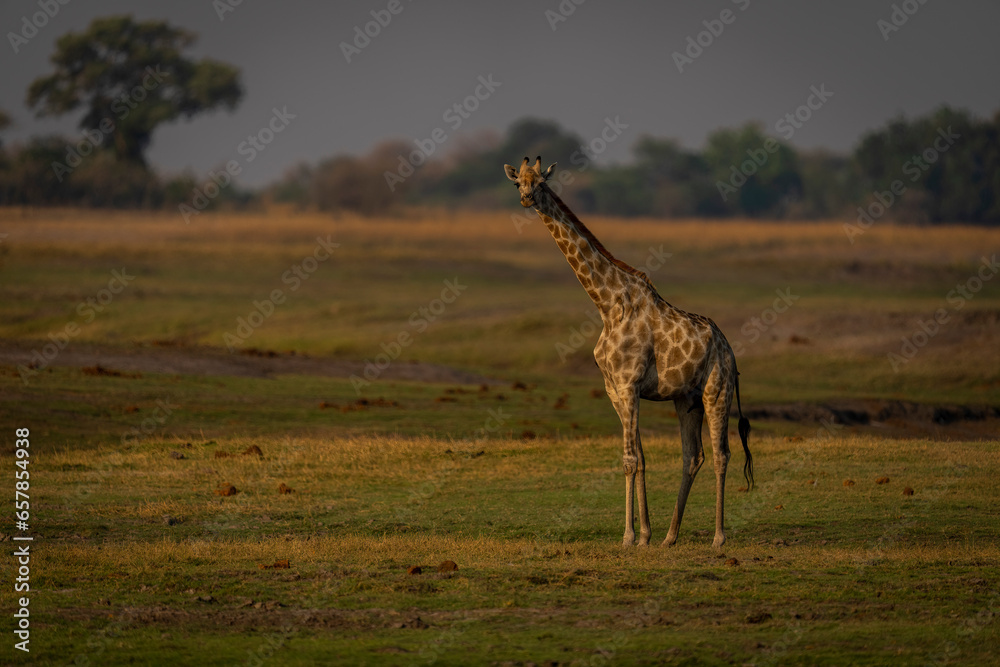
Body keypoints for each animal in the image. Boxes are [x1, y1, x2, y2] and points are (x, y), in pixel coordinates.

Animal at [504, 156, 753, 548]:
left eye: (541, 182)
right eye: (518, 183)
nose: (527, 198)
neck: (608, 305)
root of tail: (730, 350)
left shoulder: (628, 384)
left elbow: (631, 459)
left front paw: (628, 536)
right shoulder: (614, 388)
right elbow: (638, 458)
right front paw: (645, 535)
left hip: (718, 391)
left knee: (721, 455)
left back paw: (718, 537)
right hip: (687, 398)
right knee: (692, 455)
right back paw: (670, 536)